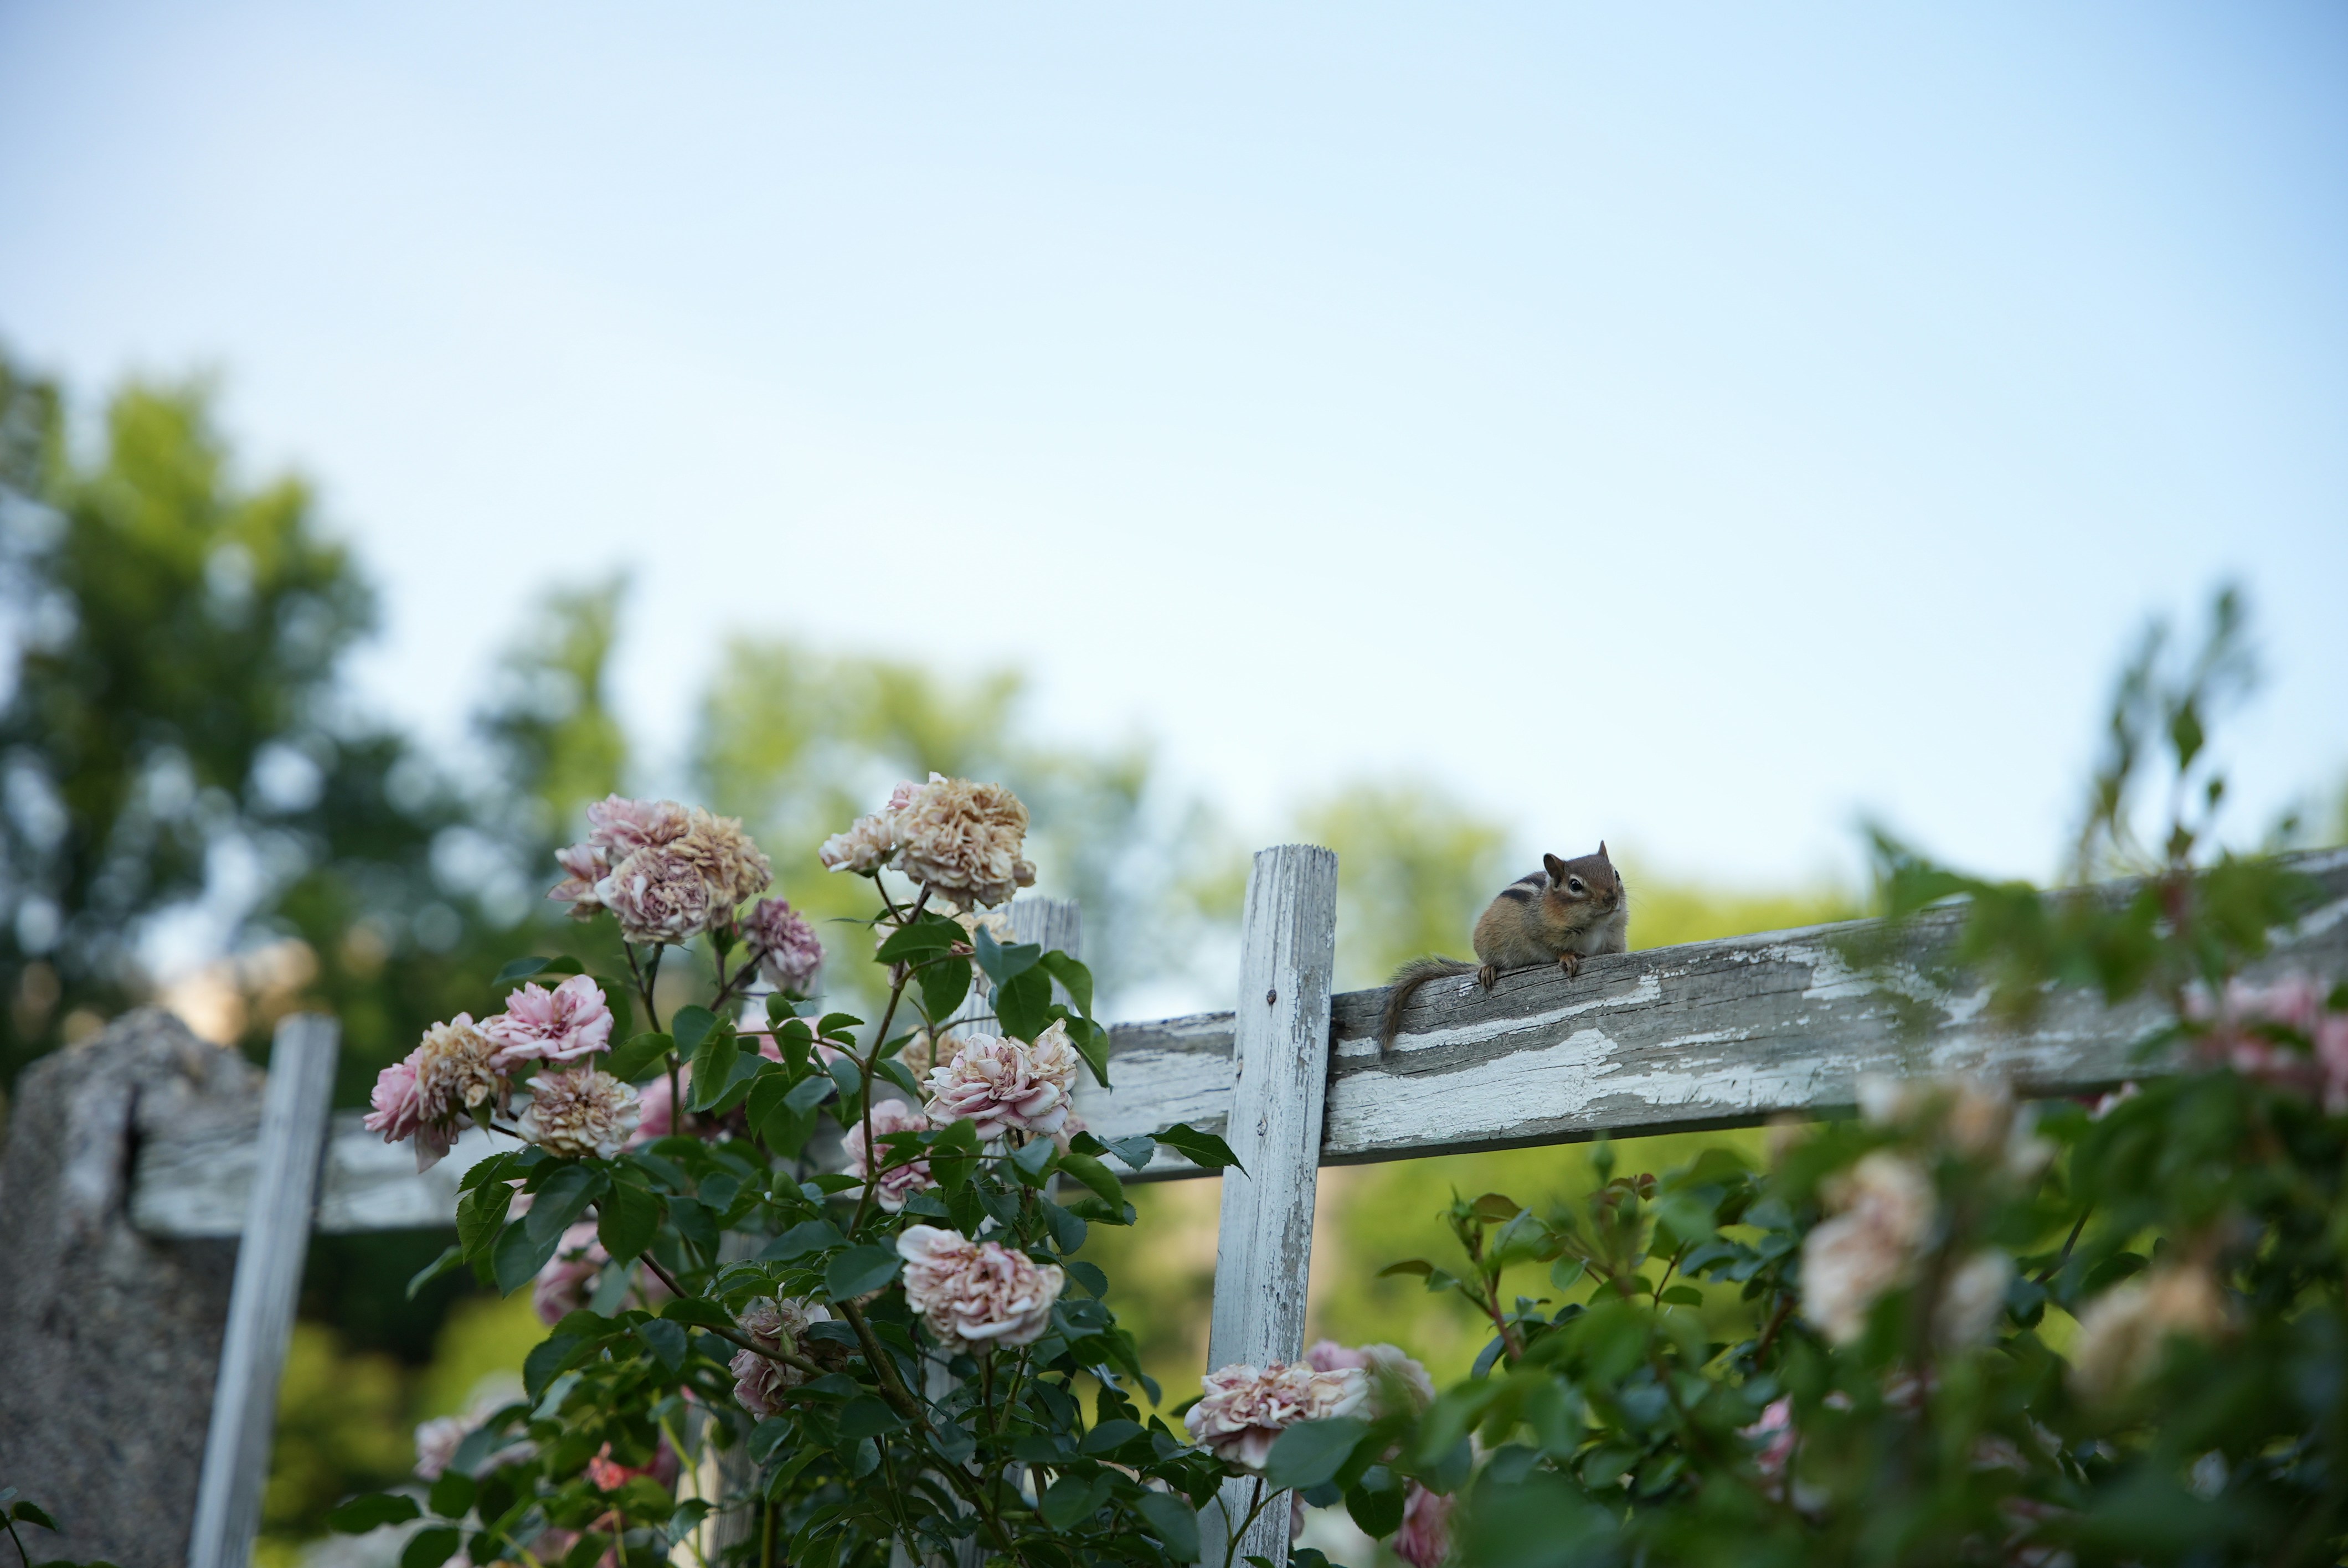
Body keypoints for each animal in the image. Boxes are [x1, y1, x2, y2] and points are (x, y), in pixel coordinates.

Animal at [1377, 844, 1629, 1049]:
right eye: (1575, 885)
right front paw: (1567, 957)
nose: (1611, 898)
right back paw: (1488, 969)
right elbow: (1554, 949)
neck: (1596, 925)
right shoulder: (1536, 932)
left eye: (1616, 874)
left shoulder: (1614, 940)